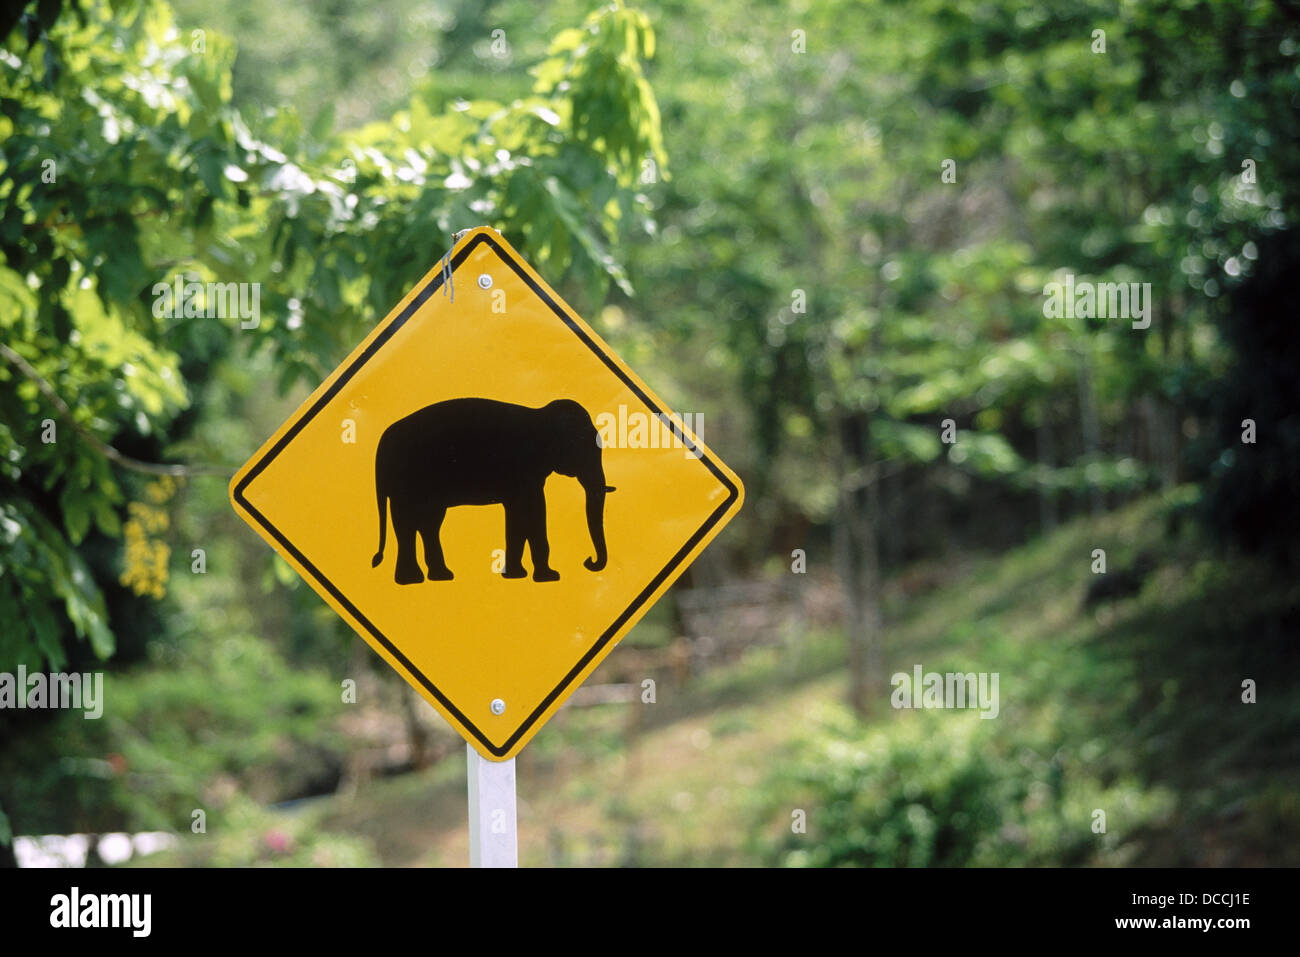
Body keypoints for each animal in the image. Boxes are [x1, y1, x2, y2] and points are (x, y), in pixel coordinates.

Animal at [370, 397, 615, 584]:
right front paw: (549, 577)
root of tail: (381, 443)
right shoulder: (525, 471)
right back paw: (411, 580)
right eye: (582, 446)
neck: (541, 415)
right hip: (405, 483)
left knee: (428, 525)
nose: (589, 561)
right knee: (407, 525)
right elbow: (534, 511)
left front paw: (517, 575)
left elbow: (520, 515)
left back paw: (440, 576)